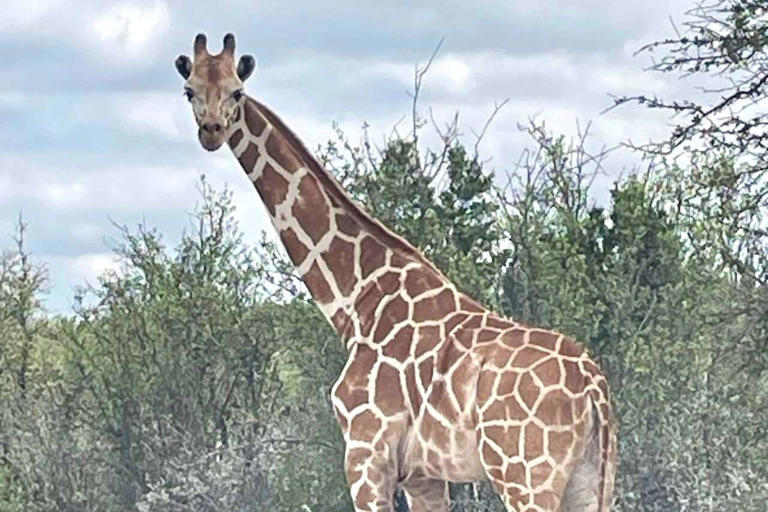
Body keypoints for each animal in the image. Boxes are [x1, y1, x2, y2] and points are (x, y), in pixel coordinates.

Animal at [175, 33, 617, 512]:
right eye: (190, 91)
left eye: (237, 92)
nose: (211, 132)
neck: (356, 299)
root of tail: (594, 388)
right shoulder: (424, 475)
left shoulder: (366, 455)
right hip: (590, 478)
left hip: (525, 474)